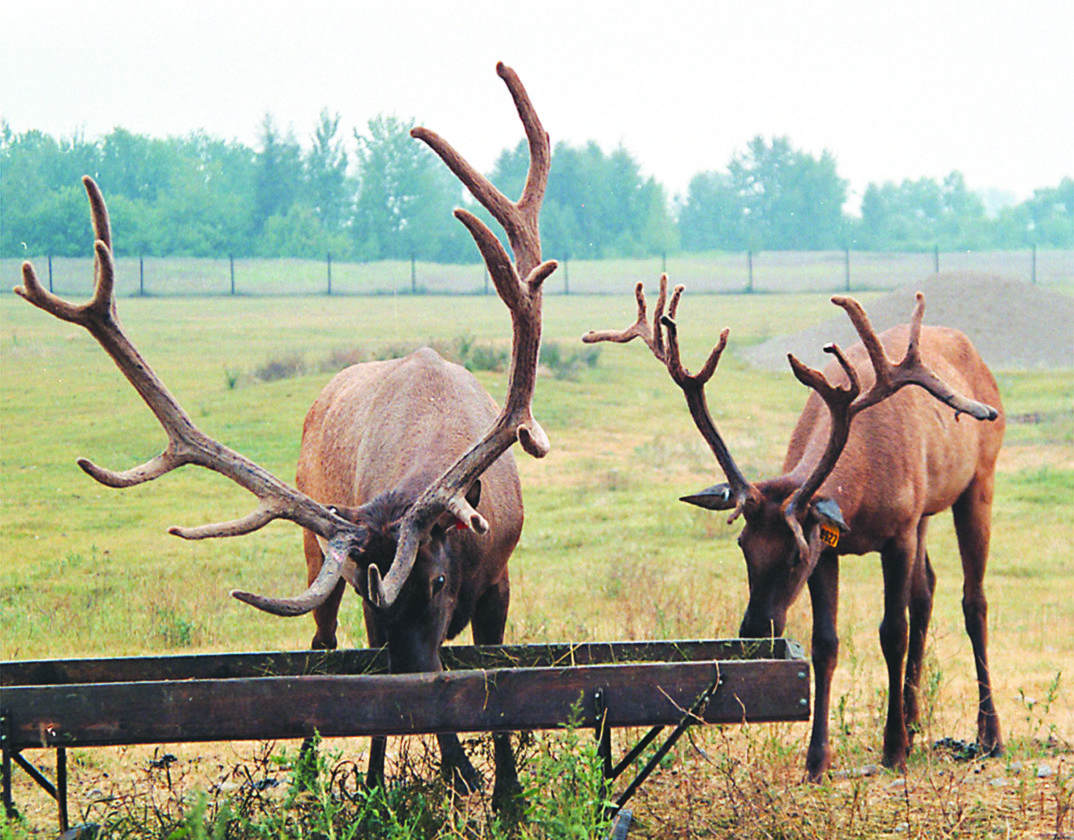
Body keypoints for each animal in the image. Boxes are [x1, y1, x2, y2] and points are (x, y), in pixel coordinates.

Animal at [15, 62, 556, 808]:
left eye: (441, 581)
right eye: (376, 590)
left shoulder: (498, 576)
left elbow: (500, 687)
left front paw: (499, 791)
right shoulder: (356, 587)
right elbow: (370, 692)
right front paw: (422, 781)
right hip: (310, 552)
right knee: (320, 654)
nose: (414, 687)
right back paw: (315, 768)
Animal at [583, 276, 1005, 780]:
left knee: (973, 600)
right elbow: (826, 644)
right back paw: (915, 716)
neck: (860, 490)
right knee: (927, 590)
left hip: (978, 481)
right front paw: (817, 760)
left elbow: (892, 632)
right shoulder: (833, 546)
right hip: (927, 511)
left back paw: (989, 734)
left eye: (794, 556)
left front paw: (894, 750)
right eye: (742, 545)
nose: (753, 632)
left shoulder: (895, 531)